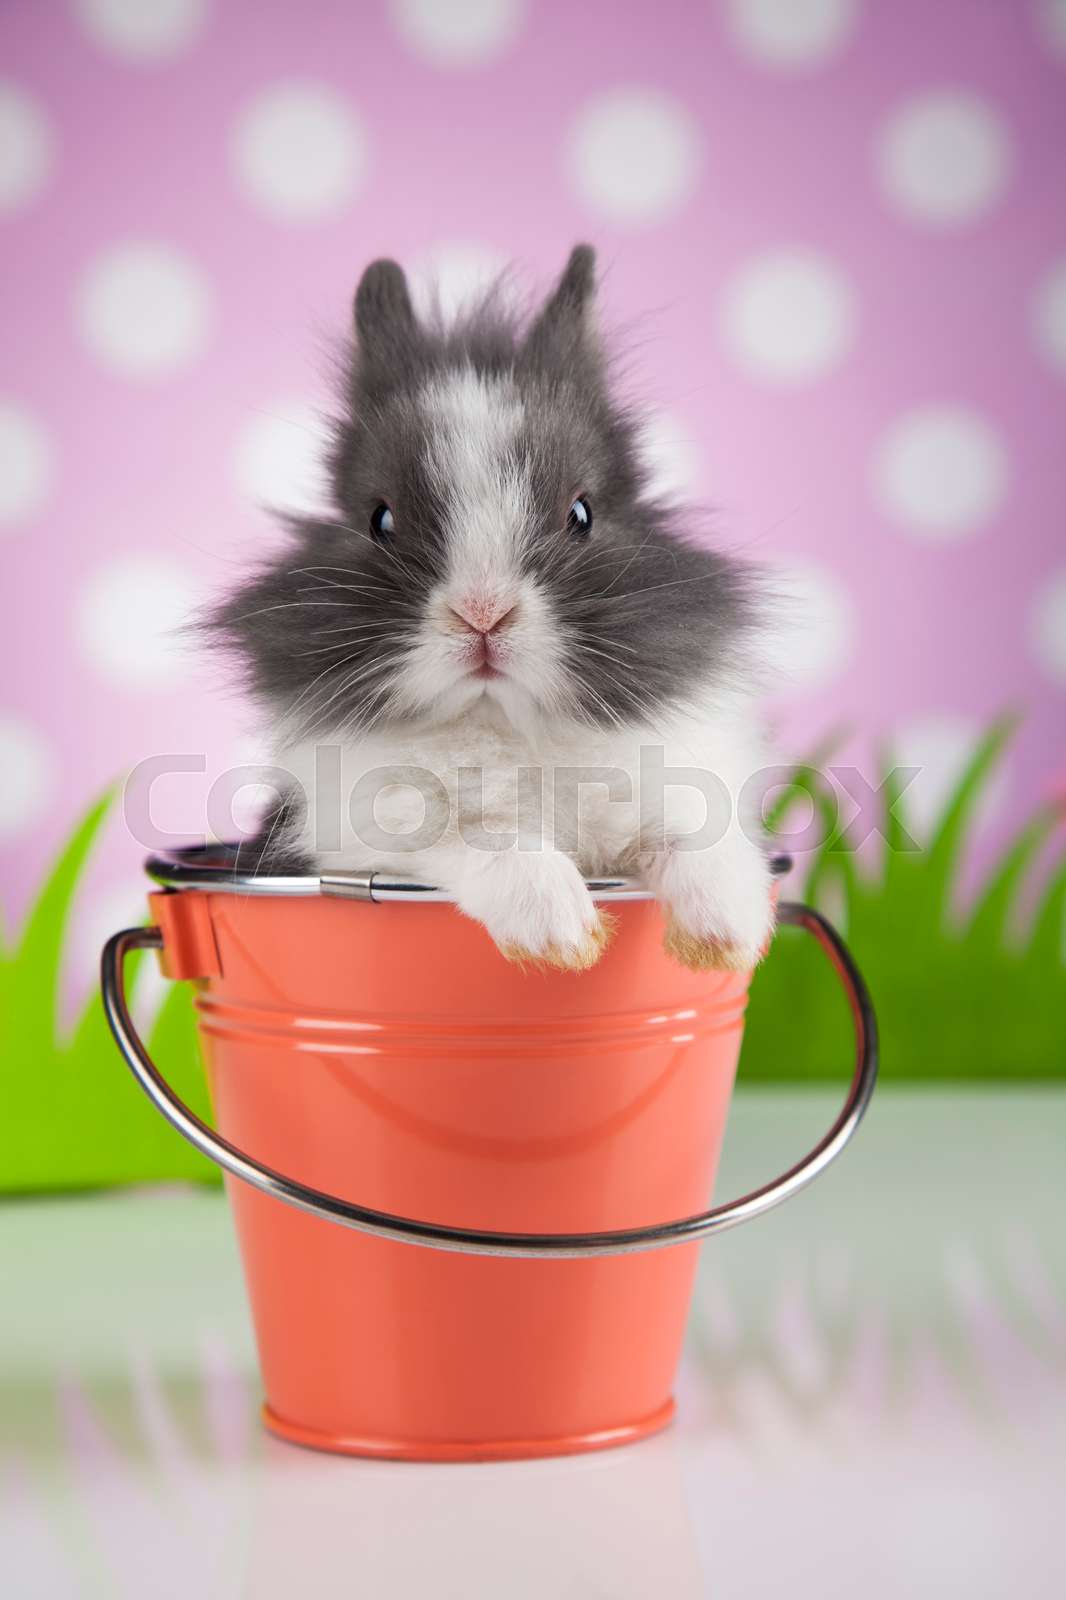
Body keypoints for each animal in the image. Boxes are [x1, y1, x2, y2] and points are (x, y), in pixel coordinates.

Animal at [208, 245, 775, 972]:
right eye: (380, 519)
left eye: (582, 513)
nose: (482, 614)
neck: (503, 719)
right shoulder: (372, 835)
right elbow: (491, 842)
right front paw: (562, 935)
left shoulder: (673, 790)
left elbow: (695, 837)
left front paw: (729, 934)